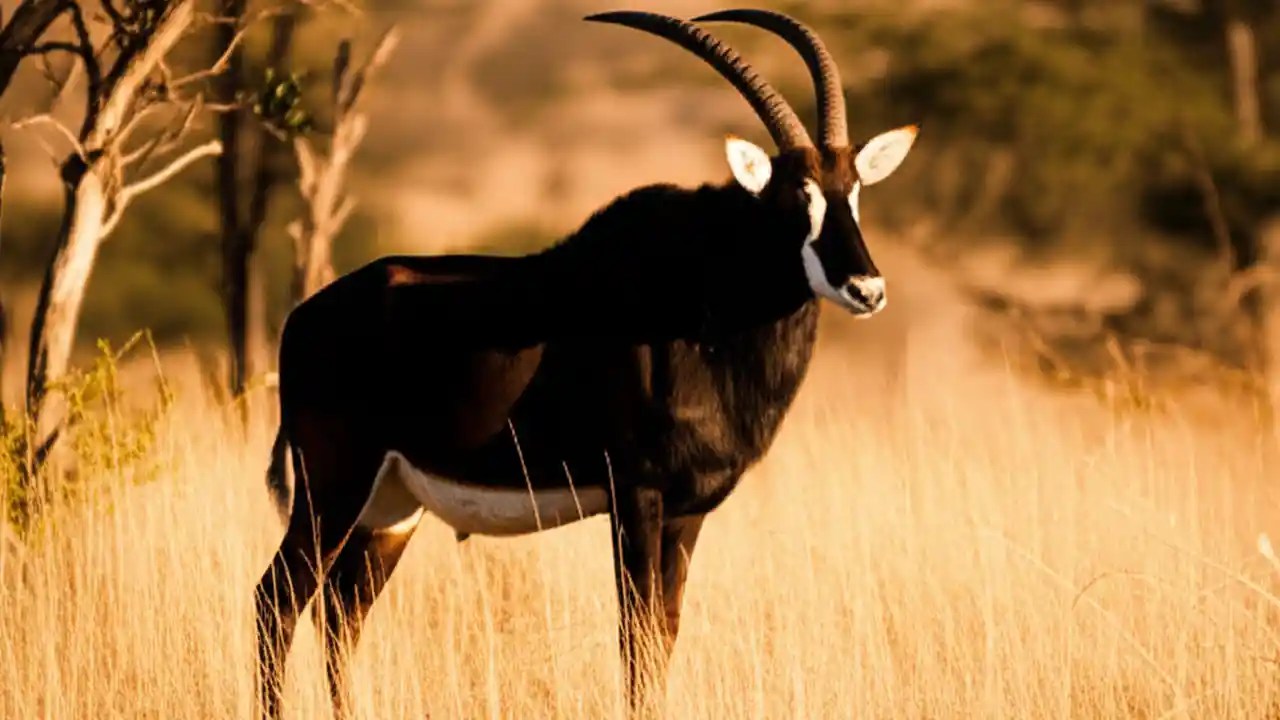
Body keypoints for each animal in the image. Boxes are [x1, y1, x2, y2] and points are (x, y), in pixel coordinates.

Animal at [253, 8, 918, 717]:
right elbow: (636, 638)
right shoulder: (637, 496)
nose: (867, 290)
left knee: (340, 616)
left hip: (390, 507)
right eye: (798, 199)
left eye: (853, 193)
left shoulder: (687, 513)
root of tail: (303, 318)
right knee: (277, 601)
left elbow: (664, 634)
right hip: (333, 487)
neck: (702, 291)